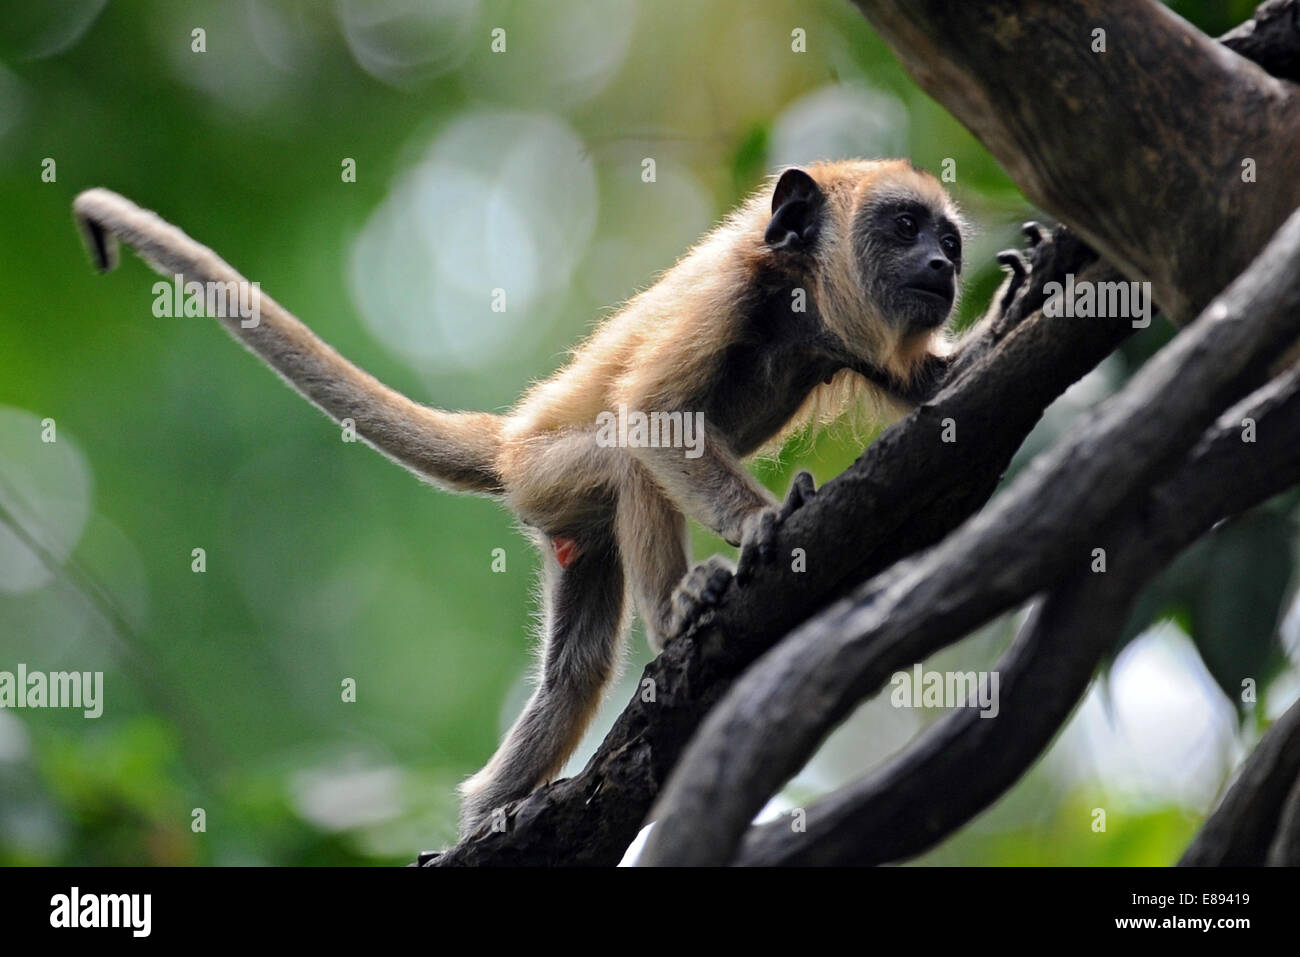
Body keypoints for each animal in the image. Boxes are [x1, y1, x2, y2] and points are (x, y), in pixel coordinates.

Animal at [73, 159, 1014, 838]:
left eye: (948, 240)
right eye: (903, 225)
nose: (941, 264)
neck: (801, 302)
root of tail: (508, 437)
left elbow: (935, 385)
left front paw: (1027, 296)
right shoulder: (730, 294)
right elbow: (652, 416)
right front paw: (762, 518)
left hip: (566, 522)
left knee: (576, 668)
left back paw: (489, 810)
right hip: (554, 469)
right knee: (630, 462)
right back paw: (677, 612)